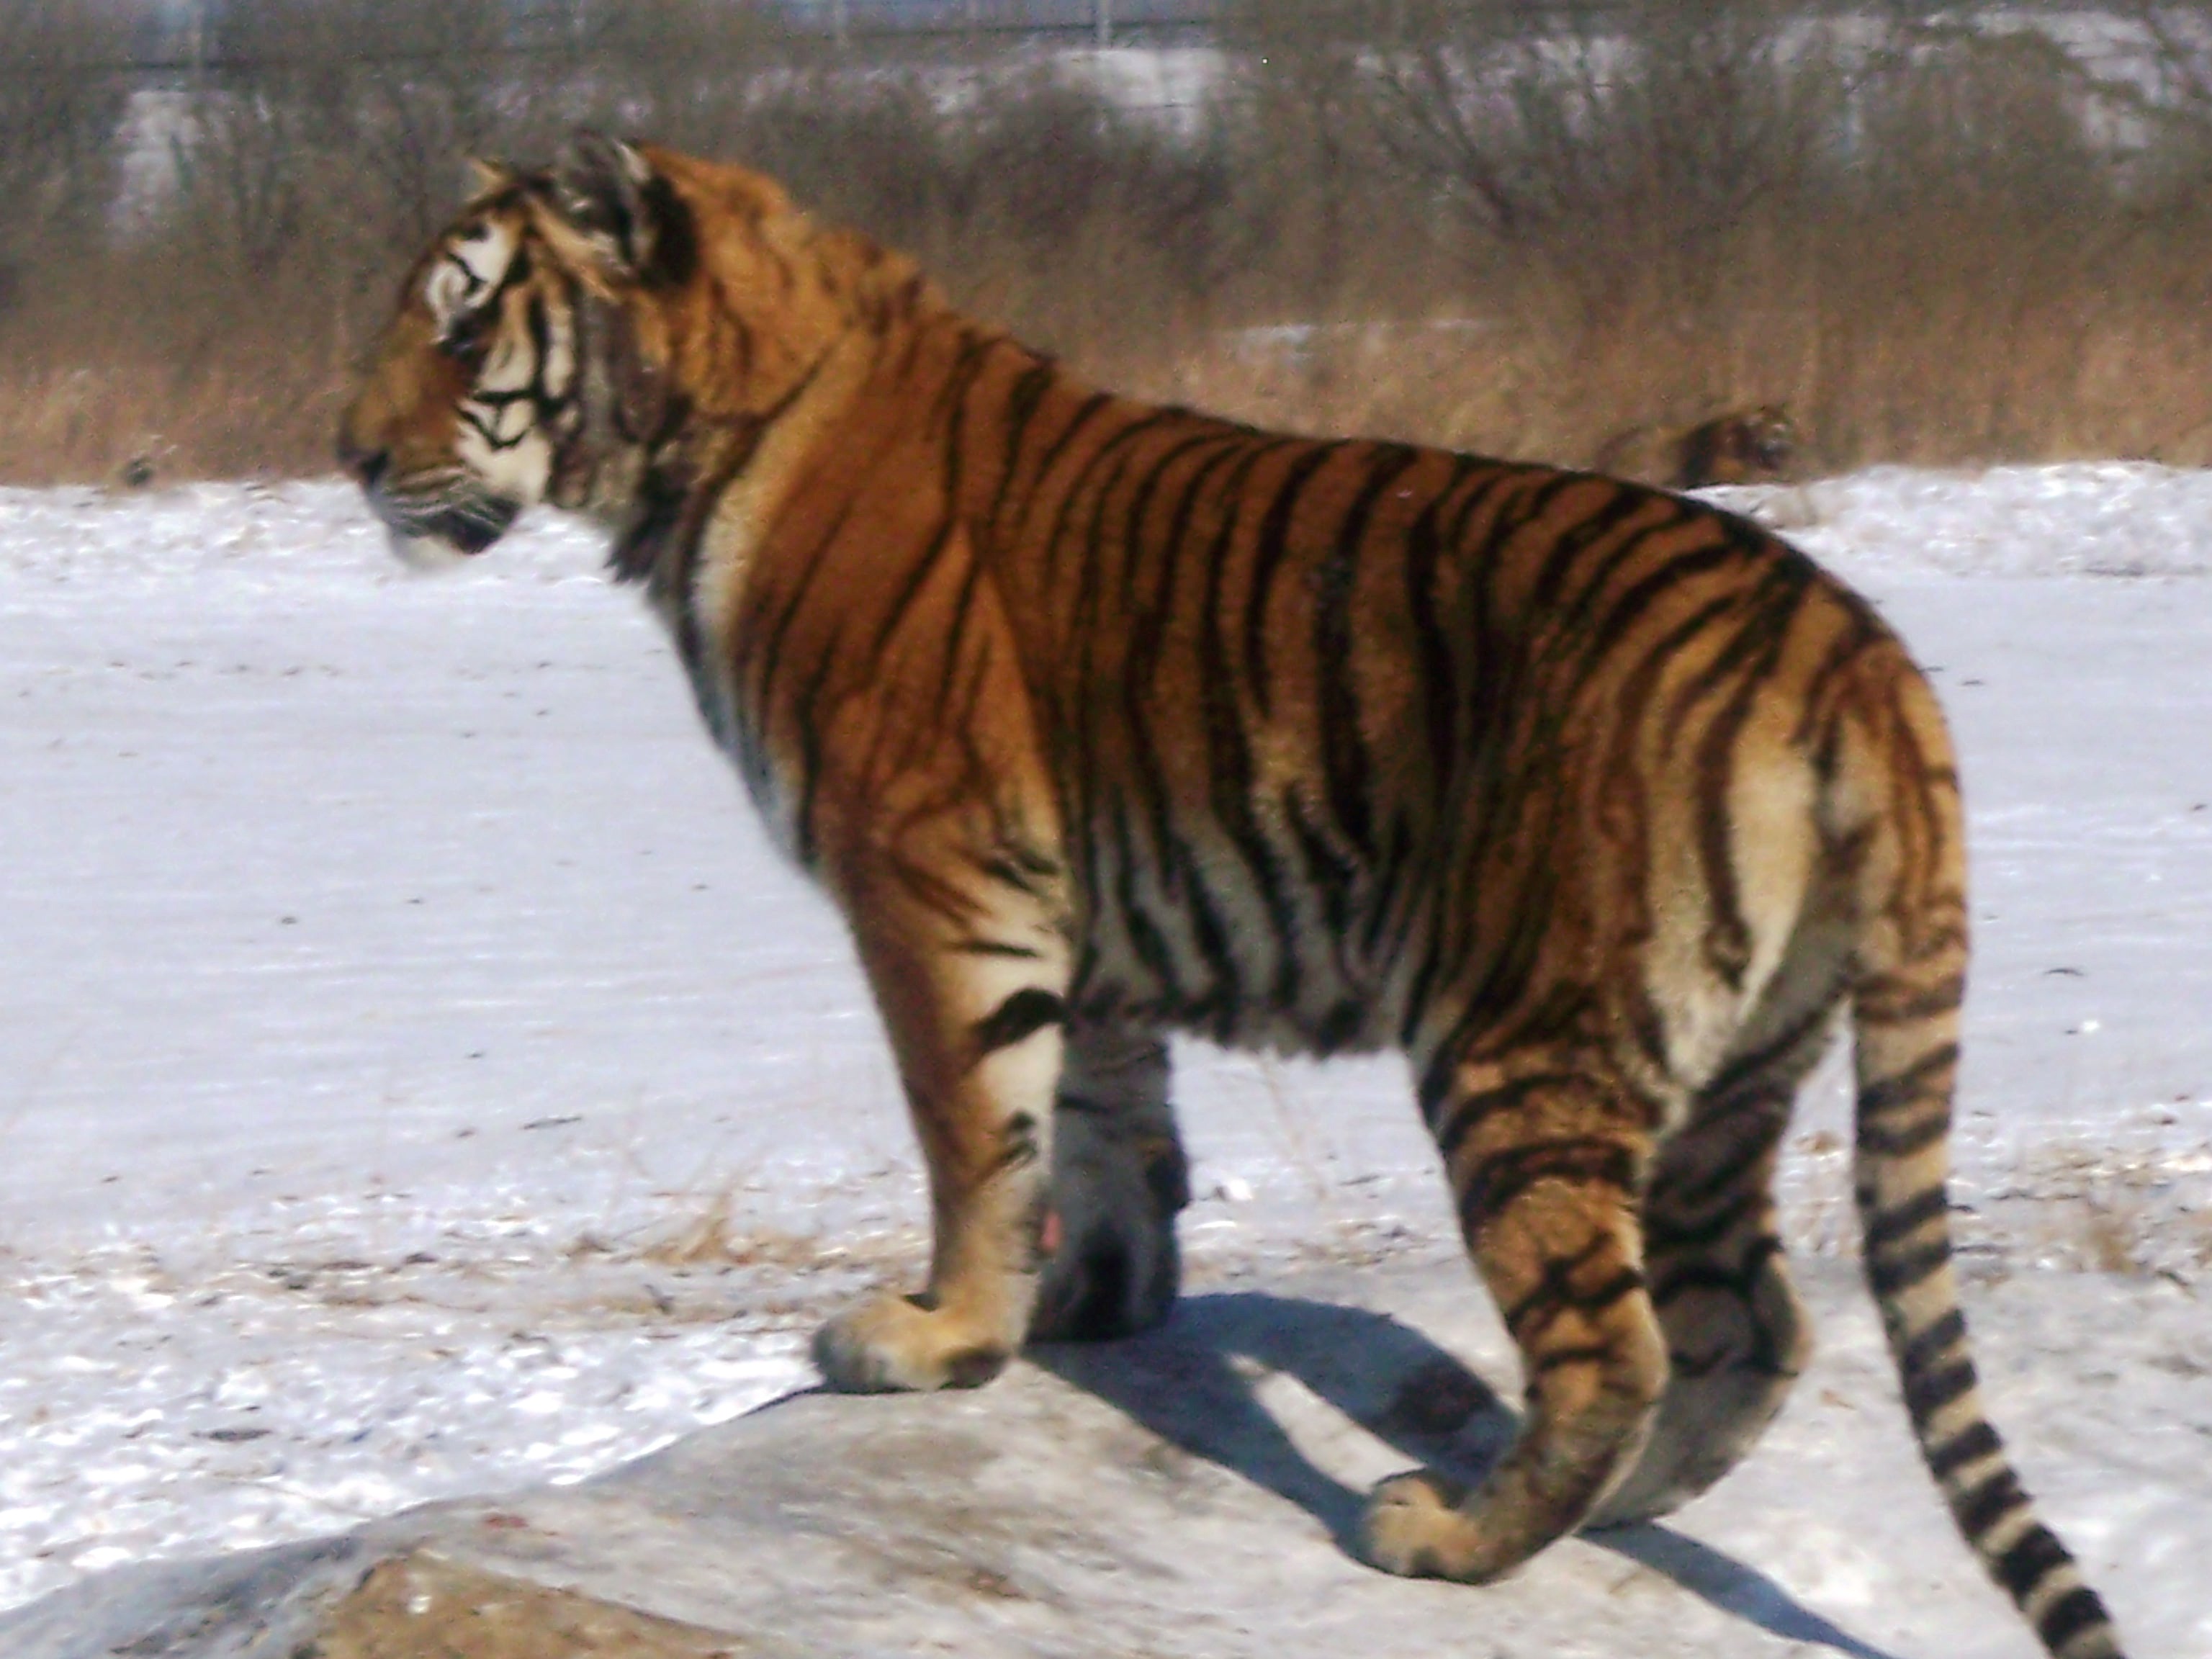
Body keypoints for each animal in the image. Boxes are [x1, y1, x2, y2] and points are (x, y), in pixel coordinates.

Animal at [338, 133, 2124, 1659]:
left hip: (1521, 1031)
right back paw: (1609, 1520)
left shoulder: (929, 876)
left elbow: (970, 1131)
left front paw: (933, 1340)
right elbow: (1096, 1124)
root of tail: (1859, 647)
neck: (710, 434)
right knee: (1750, 1323)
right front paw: (1085, 1311)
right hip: (1737, 1066)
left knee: (1616, 1342)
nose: (351, 455)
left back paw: (1451, 1537)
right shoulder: (1074, 915)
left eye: (462, 321)